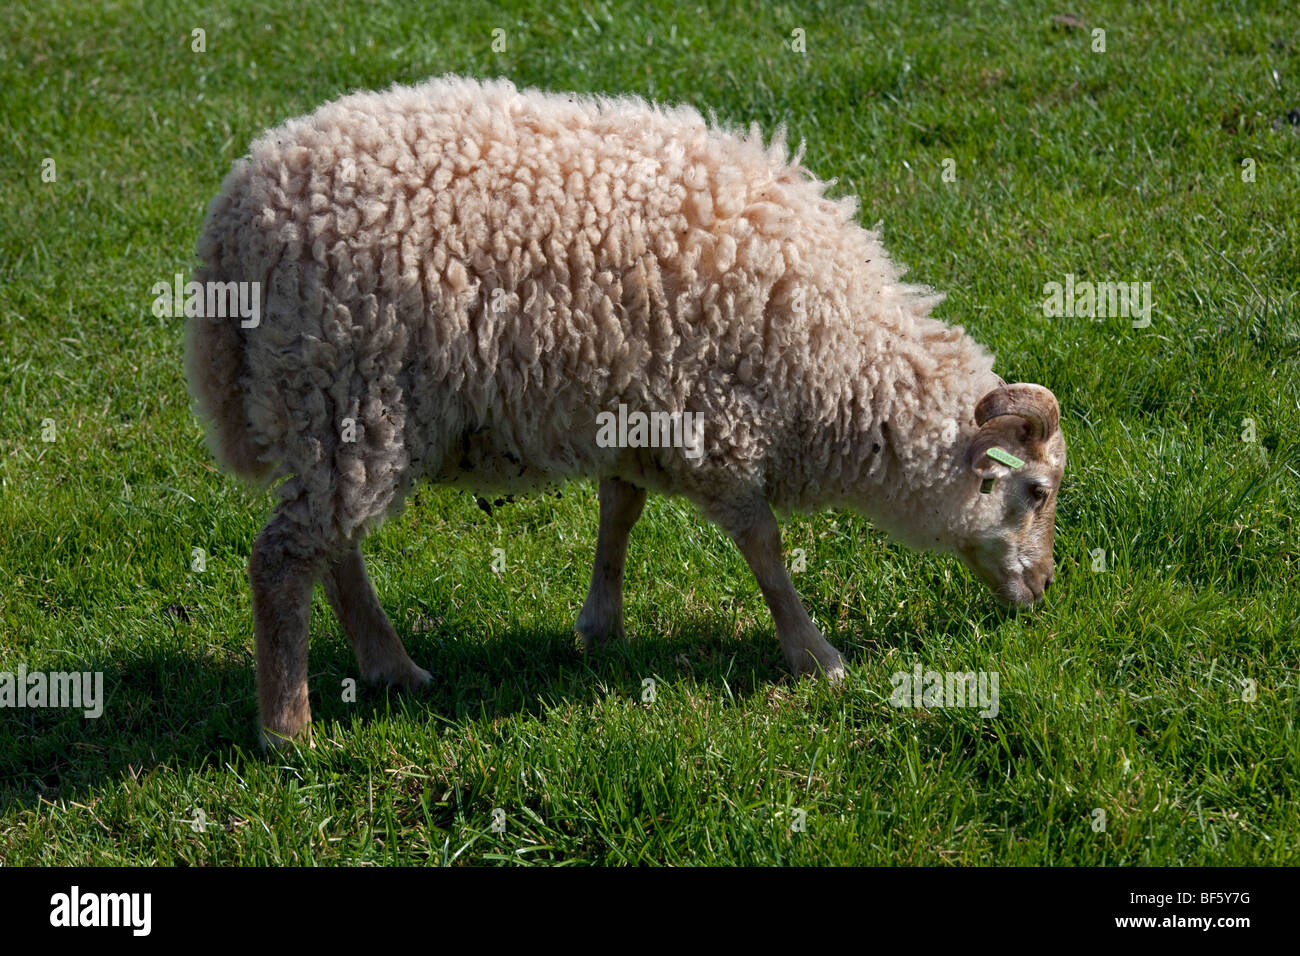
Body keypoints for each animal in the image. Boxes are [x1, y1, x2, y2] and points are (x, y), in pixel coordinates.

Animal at [185, 75, 1067, 749]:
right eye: (1036, 494)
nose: (1044, 590)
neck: (841, 359)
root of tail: (233, 216)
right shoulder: (718, 428)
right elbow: (765, 549)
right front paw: (814, 656)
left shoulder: (643, 415)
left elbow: (620, 513)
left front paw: (600, 625)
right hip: (352, 395)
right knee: (282, 558)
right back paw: (289, 728)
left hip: (335, 413)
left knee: (332, 549)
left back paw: (390, 668)